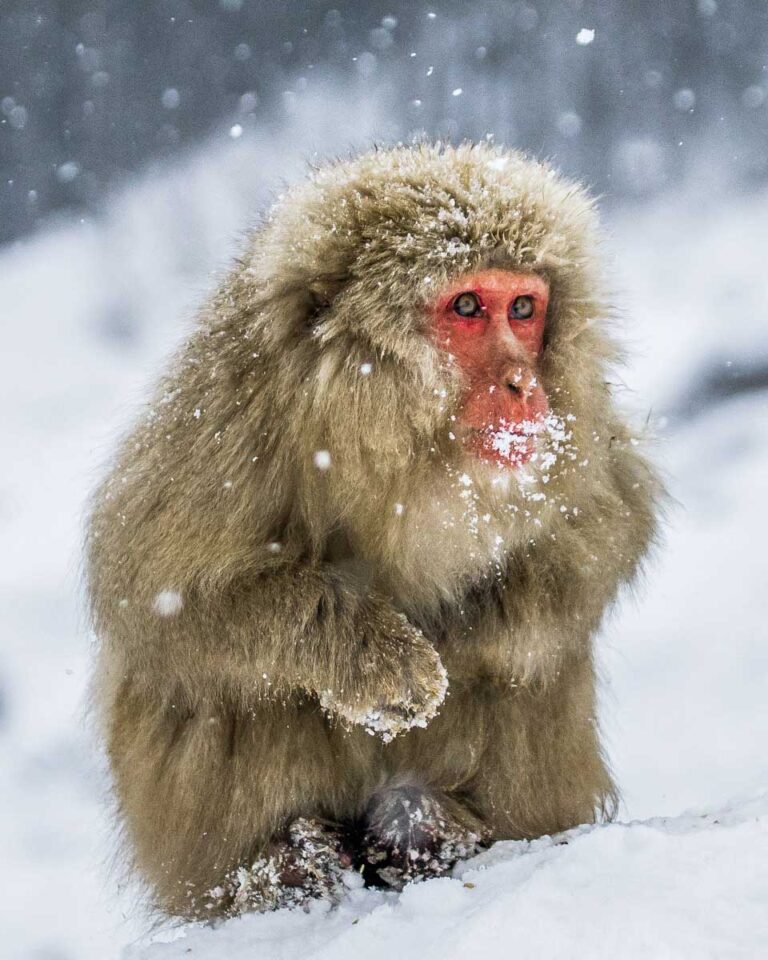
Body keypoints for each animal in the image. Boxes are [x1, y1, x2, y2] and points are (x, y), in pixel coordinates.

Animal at [86, 143, 660, 919]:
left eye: (523, 308)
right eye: (468, 307)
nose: (522, 383)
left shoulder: (575, 423)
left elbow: (609, 516)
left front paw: (471, 625)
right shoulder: (234, 407)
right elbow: (152, 586)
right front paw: (377, 657)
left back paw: (432, 830)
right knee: (227, 683)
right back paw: (283, 865)